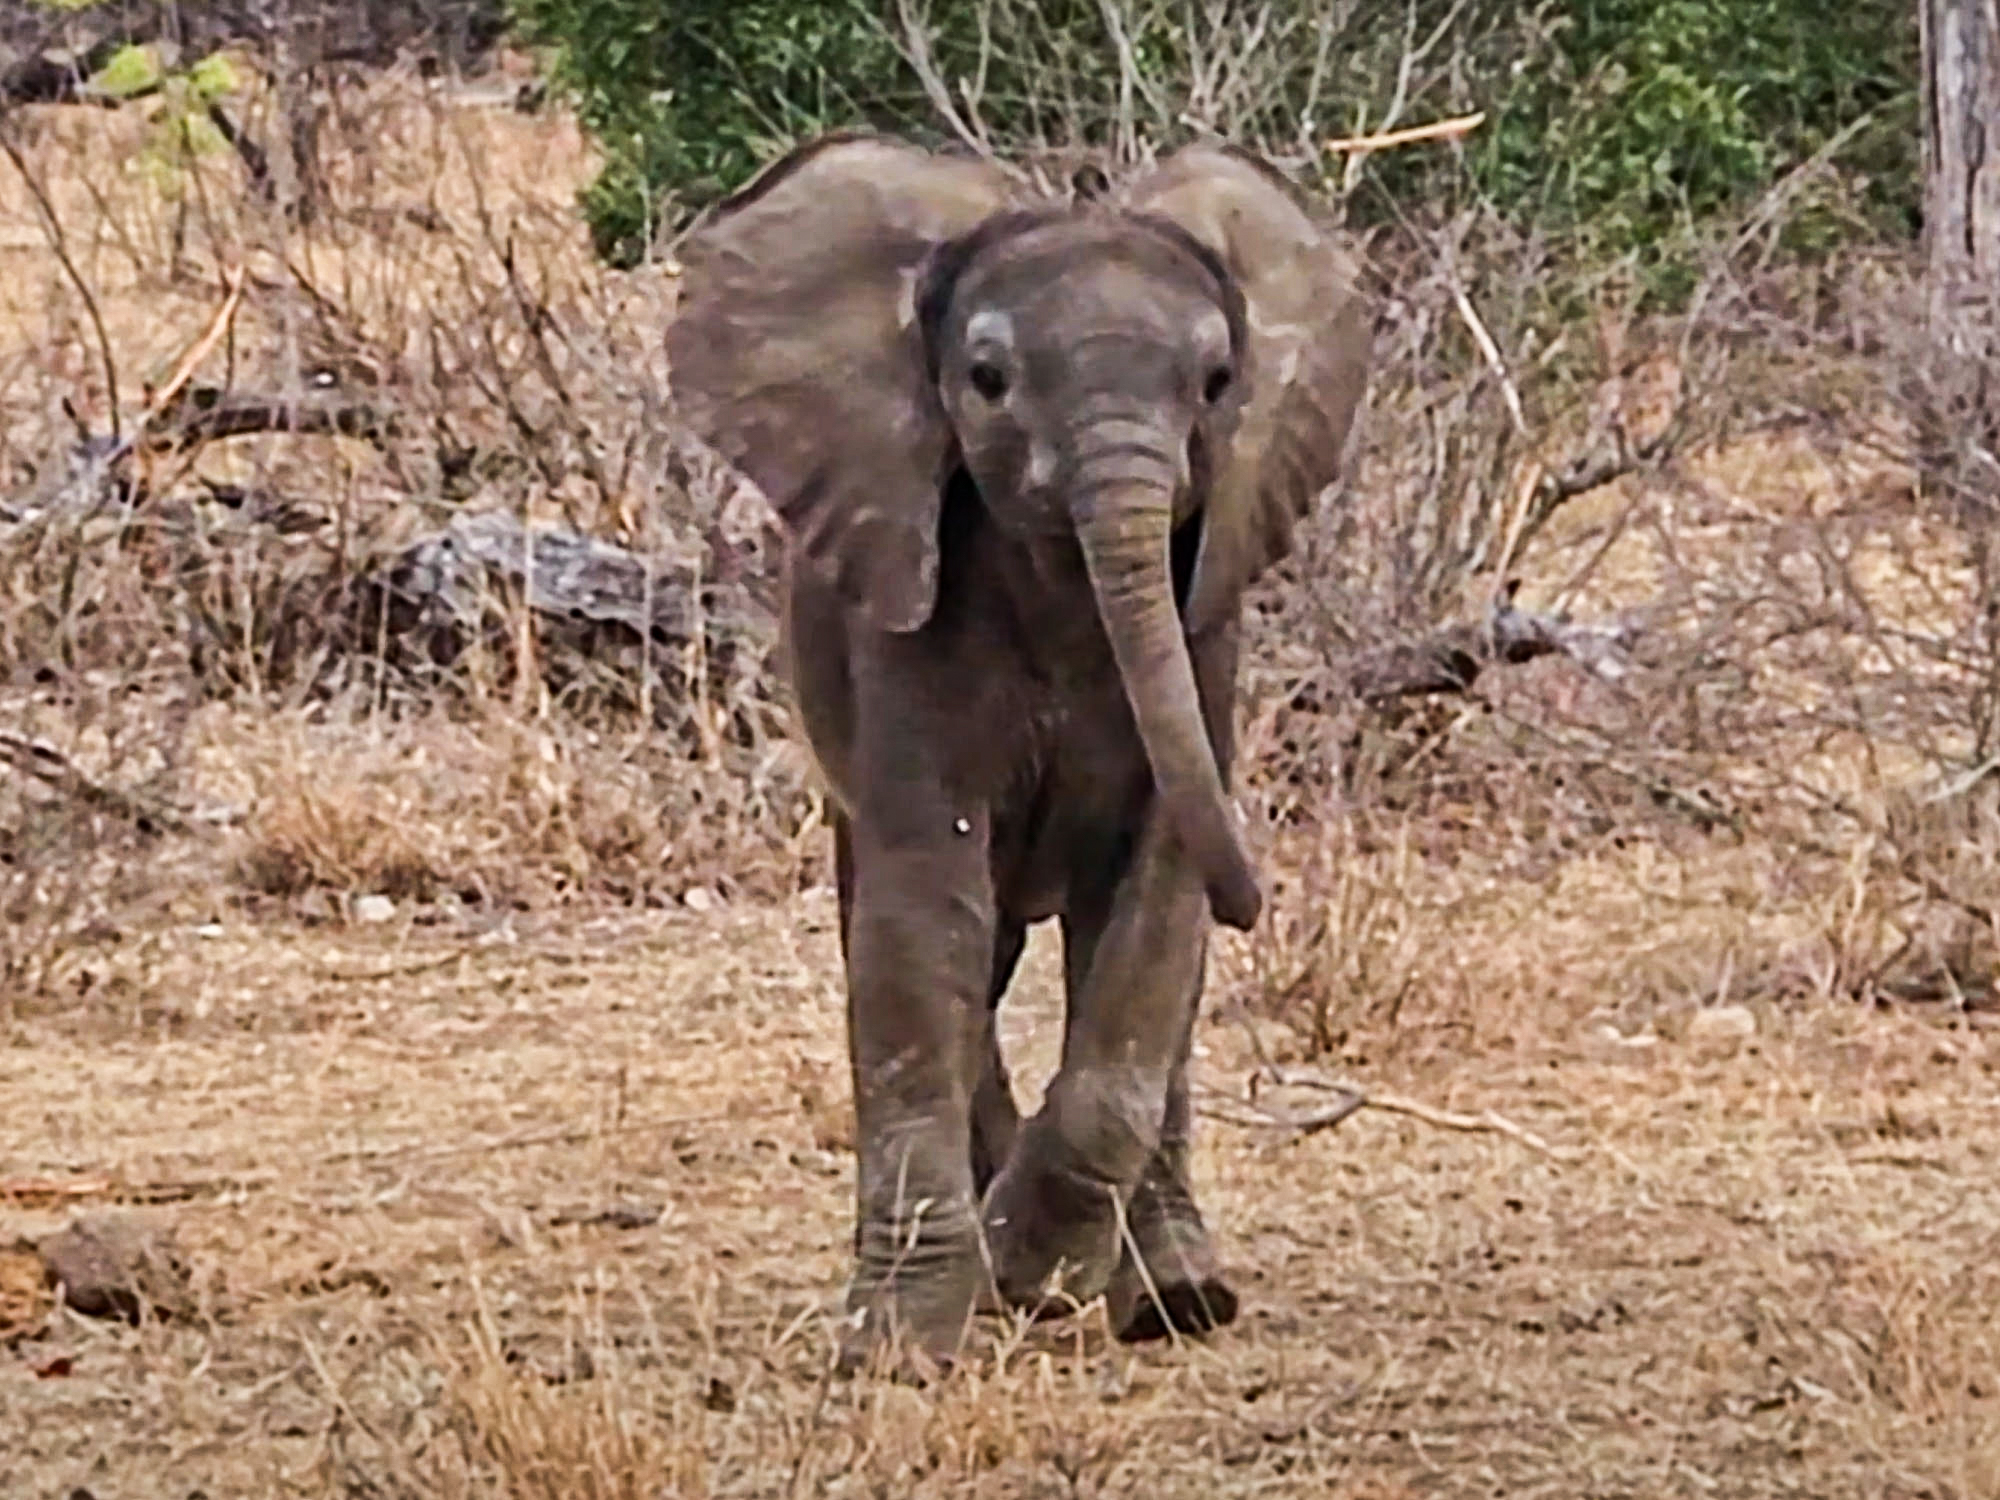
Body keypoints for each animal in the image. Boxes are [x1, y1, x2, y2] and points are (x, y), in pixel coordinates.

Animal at [666, 131, 1371, 1373]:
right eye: (986, 380)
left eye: (1217, 385)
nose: (1256, 899)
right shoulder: (904, 622)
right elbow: (923, 920)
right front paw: (910, 1343)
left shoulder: (1205, 626)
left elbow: (1154, 914)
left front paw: (1032, 1269)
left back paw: (1176, 1300)